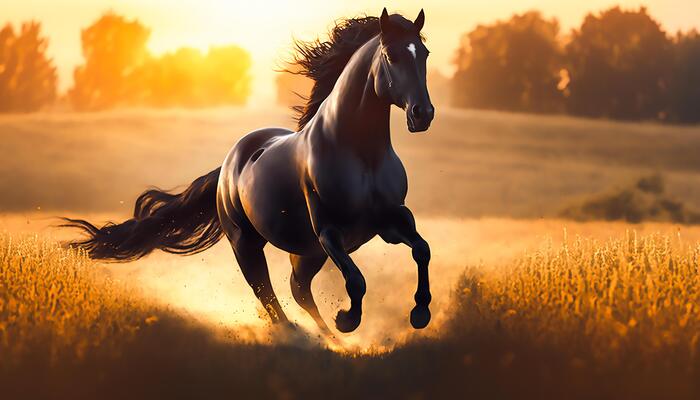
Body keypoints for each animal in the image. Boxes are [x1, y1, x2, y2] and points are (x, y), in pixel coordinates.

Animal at [63, 8, 435, 335]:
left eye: (425, 54)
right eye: (391, 55)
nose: (423, 114)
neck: (360, 155)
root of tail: (228, 165)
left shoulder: (389, 220)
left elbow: (421, 249)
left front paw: (419, 313)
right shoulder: (329, 232)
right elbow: (356, 280)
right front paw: (347, 319)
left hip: (306, 252)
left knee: (298, 289)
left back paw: (330, 340)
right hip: (247, 245)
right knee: (269, 295)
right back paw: (304, 335)